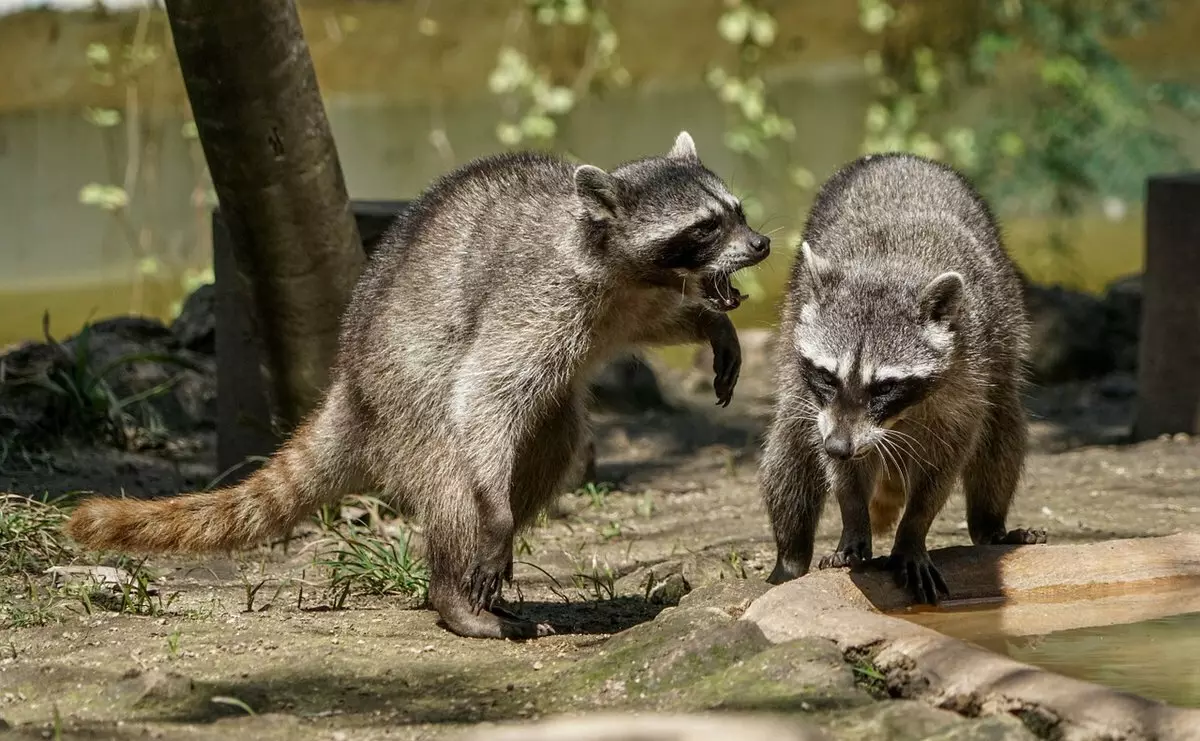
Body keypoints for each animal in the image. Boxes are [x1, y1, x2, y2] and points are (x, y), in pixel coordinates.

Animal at [65, 131, 772, 633]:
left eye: (737, 211)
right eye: (706, 226)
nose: (763, 243)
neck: (617, 256)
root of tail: (348, 388)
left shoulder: (628, 298)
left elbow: (659, 320)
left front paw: (710, 321)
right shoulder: (537, 294)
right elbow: (486, 388)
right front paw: (491, 524)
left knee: (552, 444)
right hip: (406, 397)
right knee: (459, 472)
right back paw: (455, 588)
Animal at [763, 152, 1046, 601]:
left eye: (885, 386)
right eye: (828, 376)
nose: (839, 446)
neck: (889, 267)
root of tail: (900, 156)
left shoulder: (968, 373)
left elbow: (943, 465)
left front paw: (913, 532)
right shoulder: (820, 397)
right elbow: (837, 469)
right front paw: (853, 519)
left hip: (1004, 330)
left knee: (1002, 429)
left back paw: (991, 527)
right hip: (794, 326)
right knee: (789, 446)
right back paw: (790, 557)